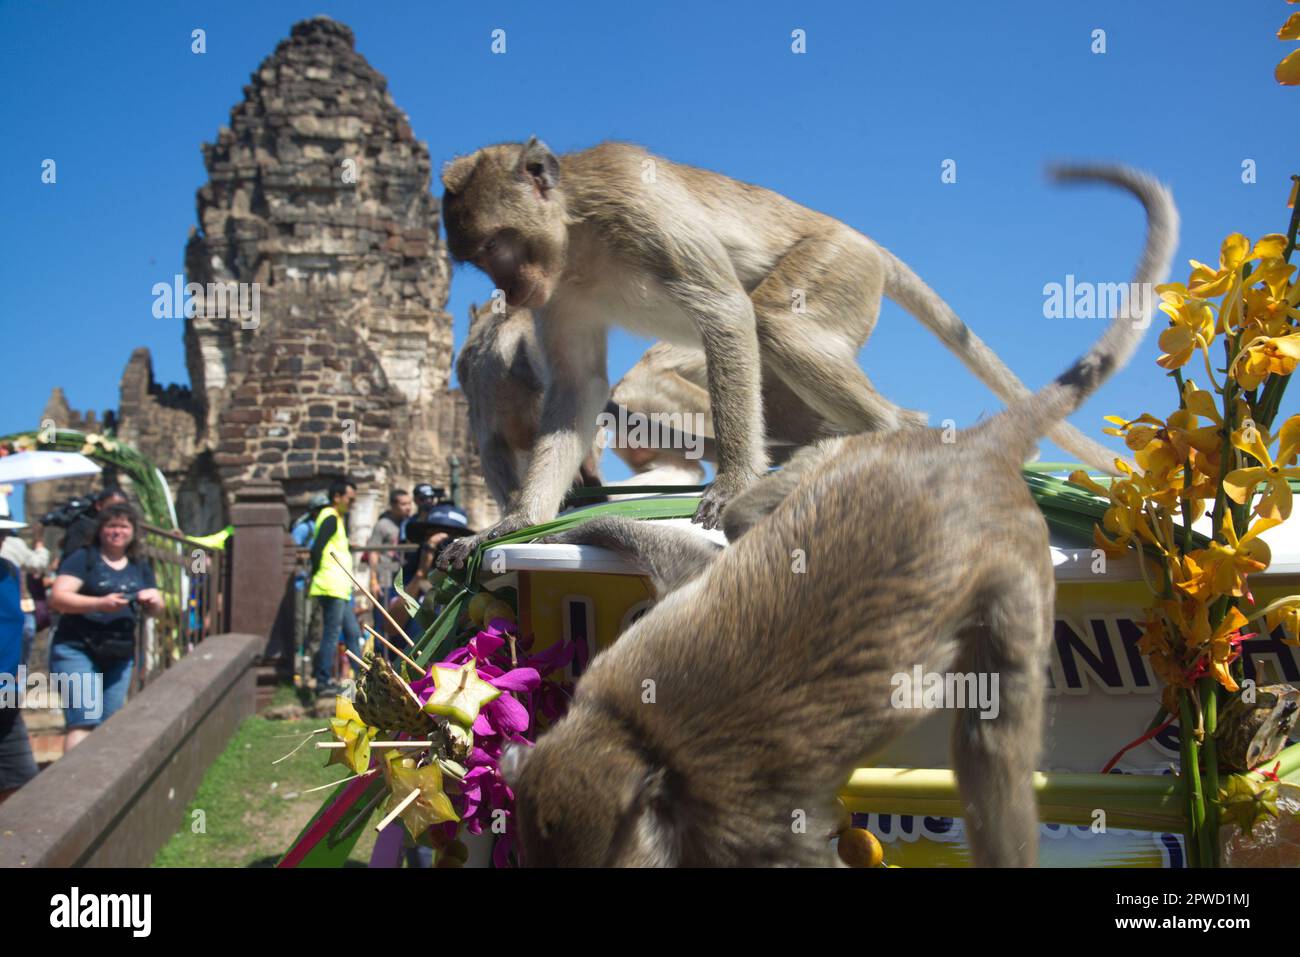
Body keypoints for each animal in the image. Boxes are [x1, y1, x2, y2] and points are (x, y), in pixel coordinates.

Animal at [438, 138, 1130, 570]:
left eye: (500, 245)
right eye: (480, 258)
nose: (508, 290)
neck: (574, 232)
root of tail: (863, 239)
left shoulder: (637, 206)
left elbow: (725, 311)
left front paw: (735, 481)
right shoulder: (559, 294)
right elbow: (578, 385)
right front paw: (516, 520)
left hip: (838, 265)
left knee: (774, 324)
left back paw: (882, 434)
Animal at [498, 164, 1178, 867]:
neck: (636, 740)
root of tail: (973, 449)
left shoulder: (741, 832)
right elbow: (685, 565)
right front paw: (537, 530)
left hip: (1016, 561)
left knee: (993, 741)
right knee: (750, 517)